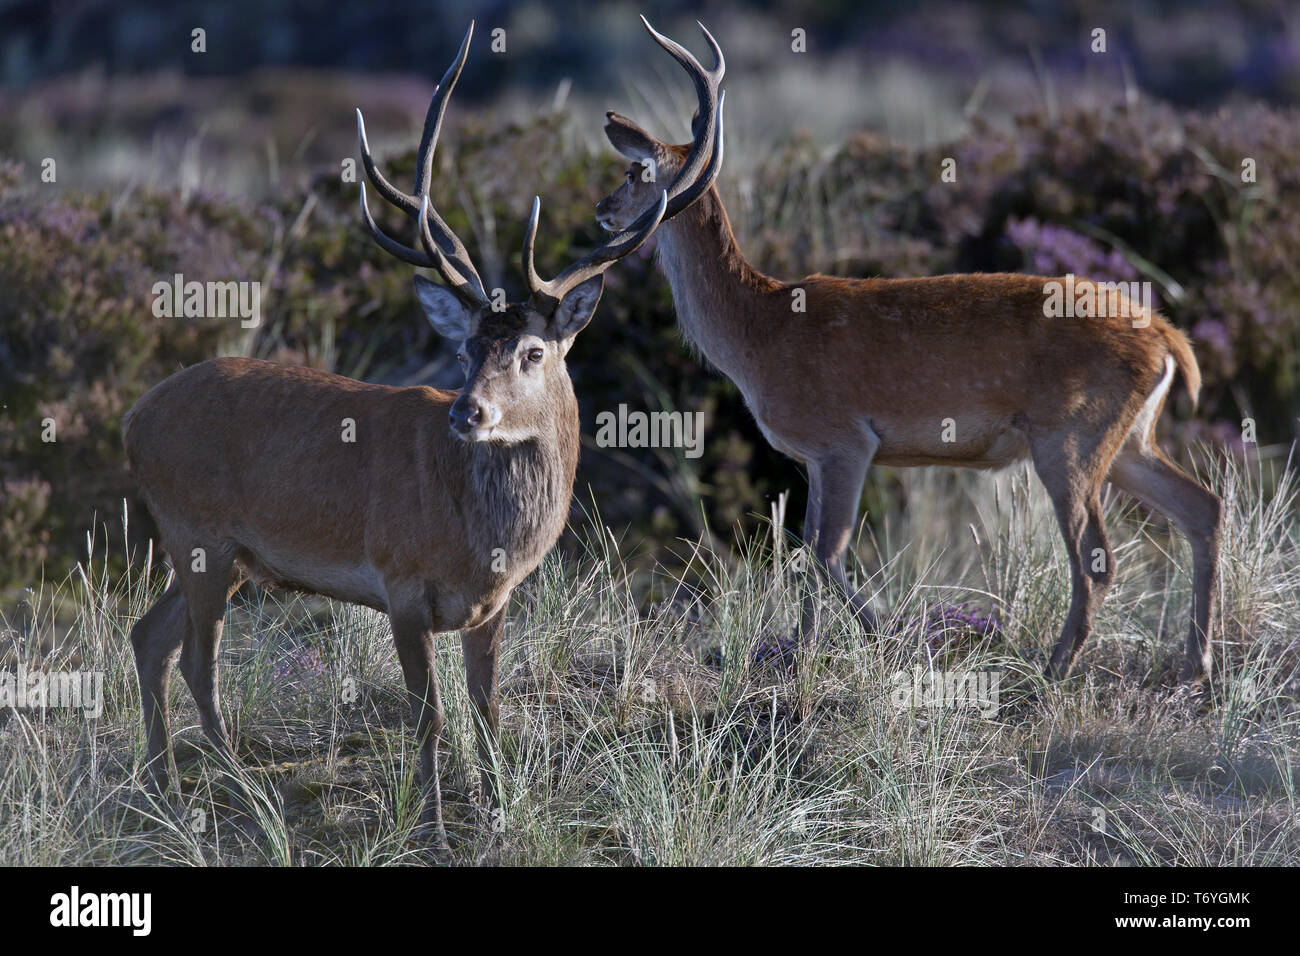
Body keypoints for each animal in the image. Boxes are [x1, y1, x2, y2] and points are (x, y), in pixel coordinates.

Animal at [122, 20, 724, 849]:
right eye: (465, 349)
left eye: (532, 351)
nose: (466, 412)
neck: (481, 537)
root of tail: (133, 418)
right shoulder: (400, 582)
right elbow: (429, 715)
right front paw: (432, 828)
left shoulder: (493, 603)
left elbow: (487, 707)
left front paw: (499, 813)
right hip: (200, 532)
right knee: (196, 665)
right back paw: (240, 795)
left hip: (224, 553)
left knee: (148, 637)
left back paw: (160, 791)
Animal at [596, 16, 1221, 685]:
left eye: (634, 173)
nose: (602, 209)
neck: (757, 337)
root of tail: (1168, 338)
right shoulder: (813, 458)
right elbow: (806, 551)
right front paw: (805, 652)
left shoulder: (846, 439)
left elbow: (827, 553)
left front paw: (880, 643)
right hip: (1128, 439)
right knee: (1203, 506)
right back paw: (1195, 664)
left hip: (1070, 436)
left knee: (1098, 555)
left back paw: (1053, 670)